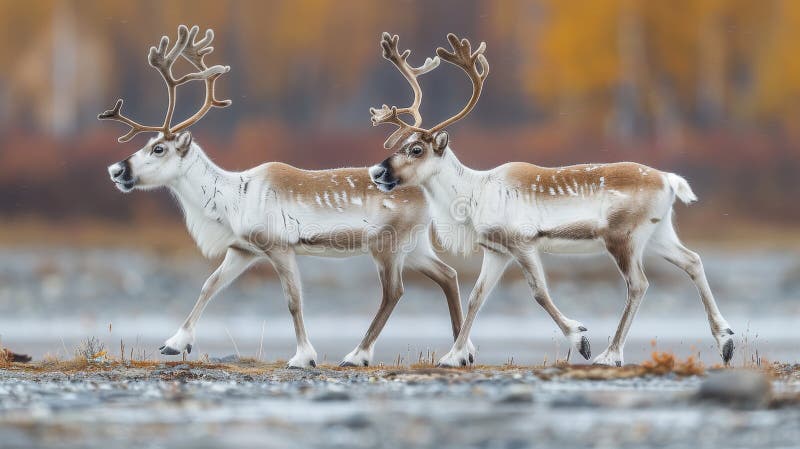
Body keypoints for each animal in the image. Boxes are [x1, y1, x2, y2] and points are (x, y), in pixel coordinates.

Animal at [99, 25, 474, 368]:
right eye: (147, 143)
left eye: (158, 148)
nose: (116, 170)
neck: (231, 201)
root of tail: (425, 192)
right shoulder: (243, 249)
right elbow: (210, 285)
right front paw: (174, 344)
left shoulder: (279, 246)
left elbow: (293, 301)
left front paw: (303, 357)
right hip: (415, 246)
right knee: (448, 275)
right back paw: (462, 352)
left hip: (387, 245)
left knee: (394, 292)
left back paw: (358, 355)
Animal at [368, 32, 735, 367]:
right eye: (400, 144)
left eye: (417, 149)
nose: (377, 171)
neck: (473, 195)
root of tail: (669, 179)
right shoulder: (497, 250)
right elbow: (476, 297)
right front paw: (453, 355)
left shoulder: (523, 242)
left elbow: (539, 292)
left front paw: (580, 338)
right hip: (658, 233)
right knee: (693, 260)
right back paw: (725, 341)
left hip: (623, 237)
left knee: (639, 284)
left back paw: (609, 354)